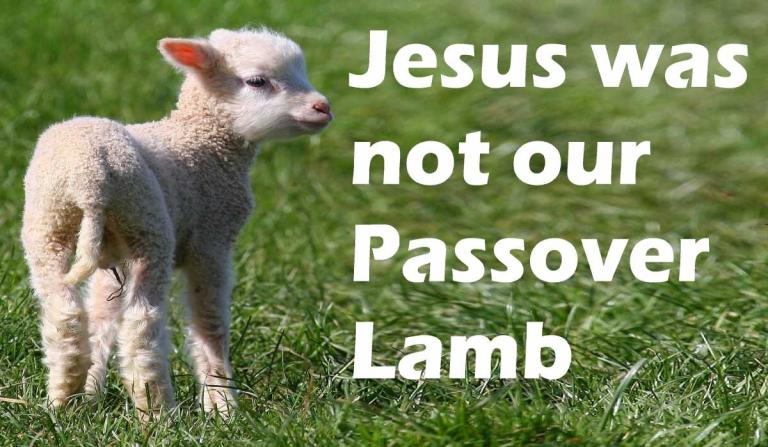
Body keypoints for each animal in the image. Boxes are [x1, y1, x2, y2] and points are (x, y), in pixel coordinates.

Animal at [21, 27, 332, 417]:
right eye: (257, 81)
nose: (323, 107)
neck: (201, 139)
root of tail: (88, 177)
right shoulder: (212, 240)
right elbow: (210, 323)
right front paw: (222, 406)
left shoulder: (114, 260)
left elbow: (103, 318)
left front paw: (91, 394)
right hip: (149, 229)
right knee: (141, 325)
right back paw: (159, 412)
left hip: (50, 224)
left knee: (65, 314)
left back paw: (63, 400)